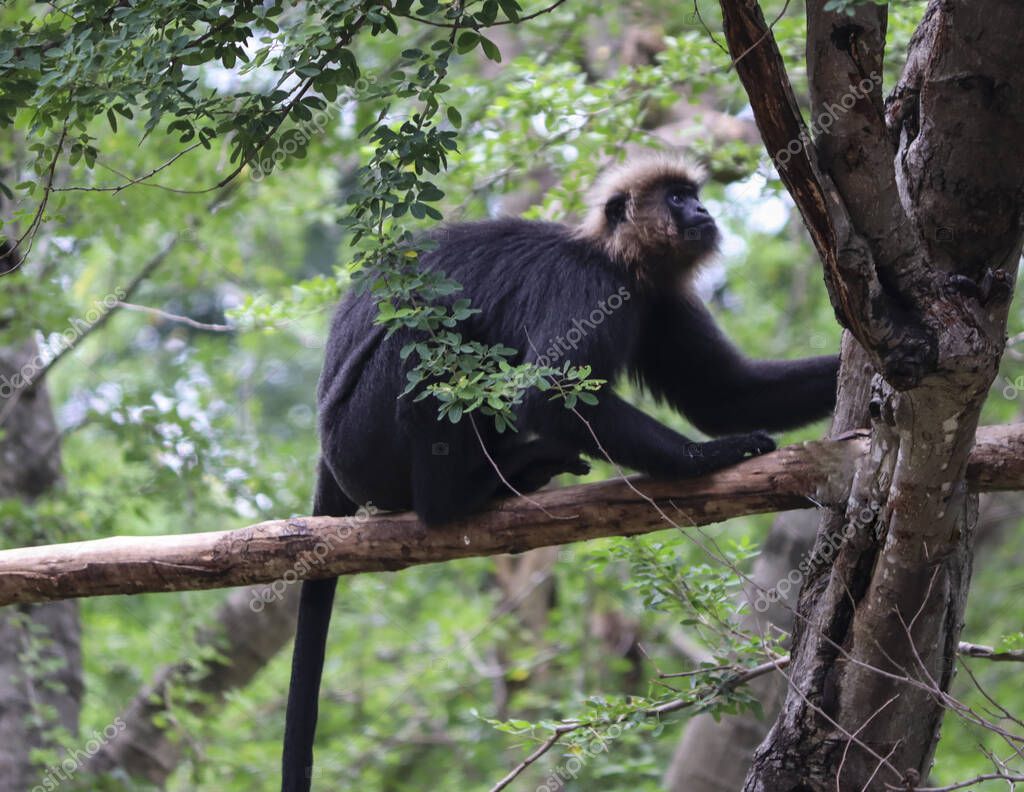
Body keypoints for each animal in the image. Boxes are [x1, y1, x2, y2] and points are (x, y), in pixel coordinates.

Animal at [281, 153, 839, 790]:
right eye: (676, 198)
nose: (701, 209)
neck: (617, 258)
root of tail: (327, 448)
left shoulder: (657, 300)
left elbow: (726, 396)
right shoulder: (591, 287)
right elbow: (550, 395)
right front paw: (711, 456)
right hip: (367, 440)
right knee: (430, 331)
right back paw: (464, 495)